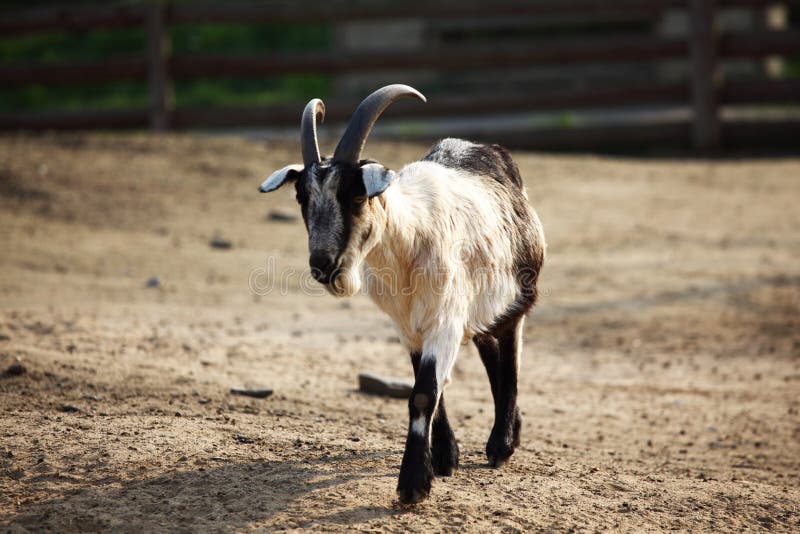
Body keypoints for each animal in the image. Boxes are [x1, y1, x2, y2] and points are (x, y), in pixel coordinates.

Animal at [259, 84, 545, 504]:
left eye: (355, 196)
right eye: (302, 198)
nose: (323, 265)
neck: (410, 239)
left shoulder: (444, 319)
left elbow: (425, 393)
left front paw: (413, 484)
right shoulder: (407, 326)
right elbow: (432, 388)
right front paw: (444, 458)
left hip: (516, 297)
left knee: (509, 358)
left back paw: (501, 446)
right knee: (491, 353)